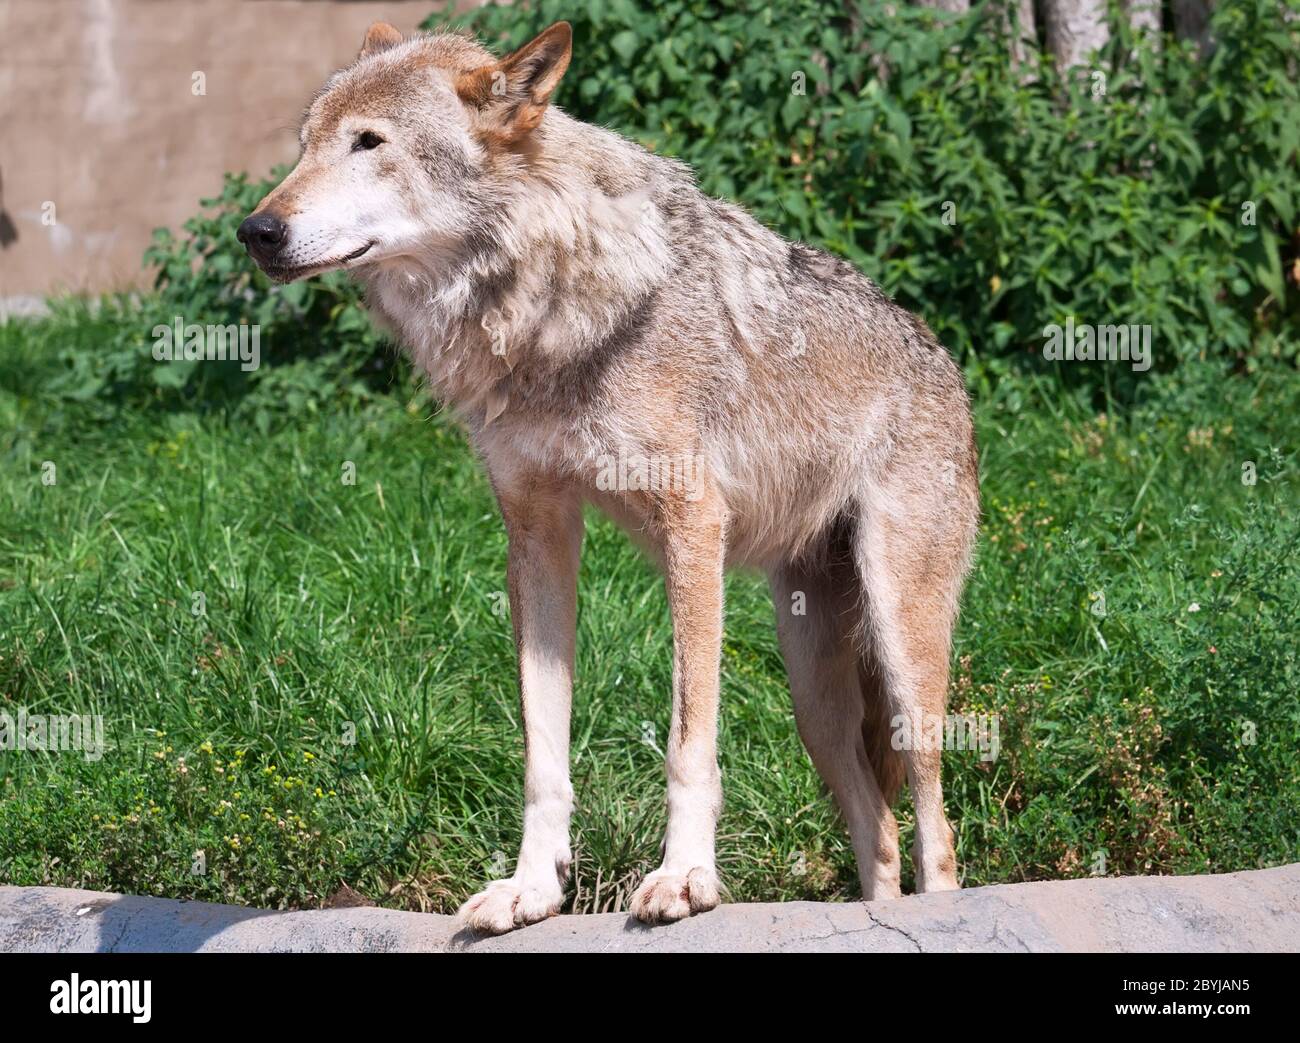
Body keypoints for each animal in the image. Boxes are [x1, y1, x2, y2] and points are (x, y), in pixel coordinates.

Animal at [238, 21, 980, 934]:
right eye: (306, 144)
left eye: (369, 143)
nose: (257, 230)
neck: (539, 313)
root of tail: (941, 356)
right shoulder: (536, 535)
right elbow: (542, 750)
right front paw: (530, 889)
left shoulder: (692, 525)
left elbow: (689, 739)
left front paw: (685, 879)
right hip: (813, 694)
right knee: (878, 834)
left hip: (902, 648)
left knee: (936, 824)